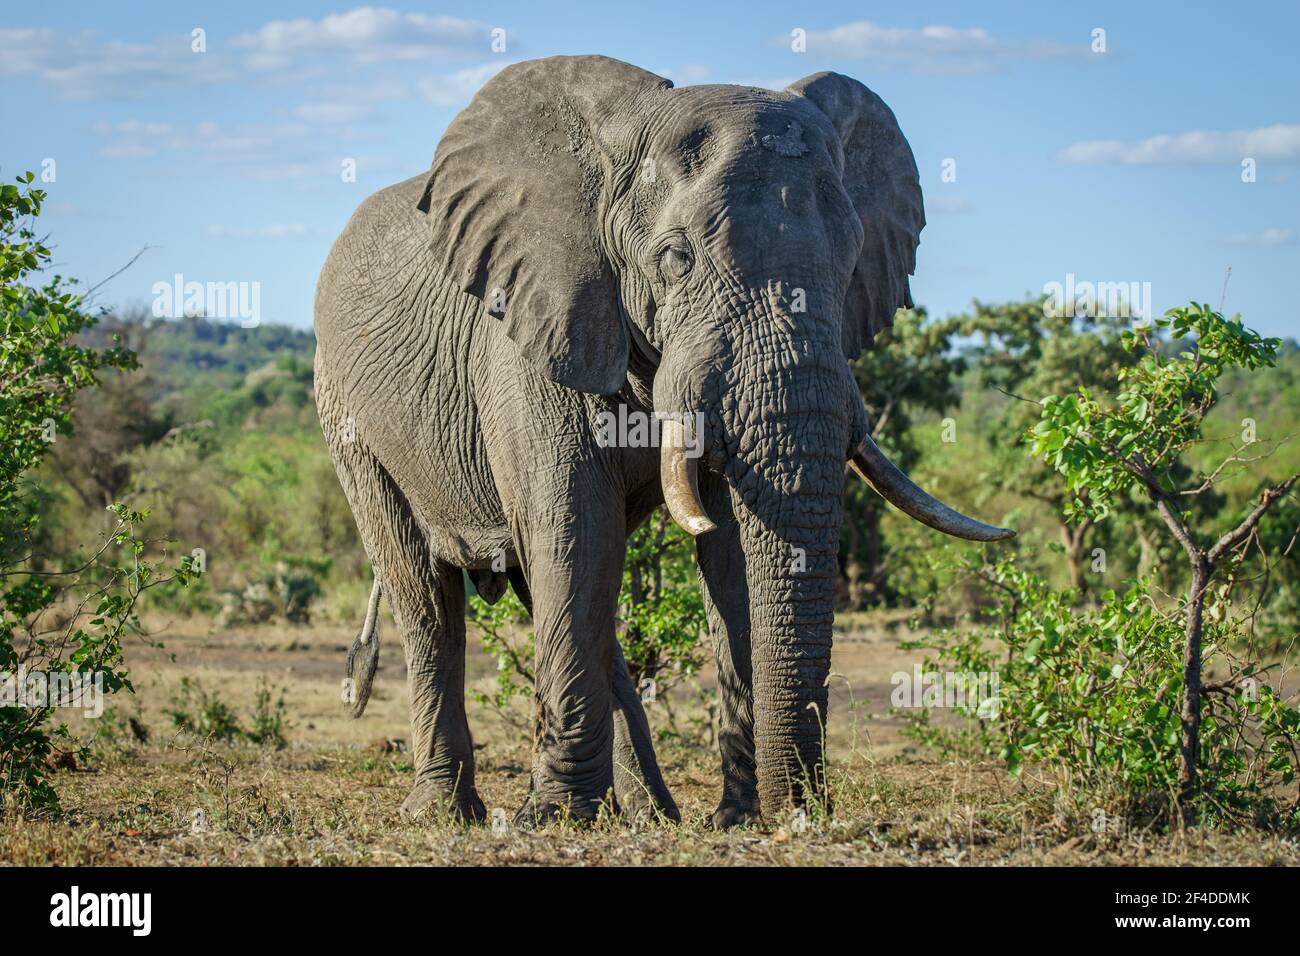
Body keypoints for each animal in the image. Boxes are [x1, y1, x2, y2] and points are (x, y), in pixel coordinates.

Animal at [313, 55, 1012, 828]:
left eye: (853, 257)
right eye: (675, 258)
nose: (801, 812)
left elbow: (730, 547)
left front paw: (738, 820)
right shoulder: (532, 333)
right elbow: (575, 532)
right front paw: (556, 819)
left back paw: (651, 814)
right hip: (345, 413)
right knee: (427, 593)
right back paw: (447, 813)